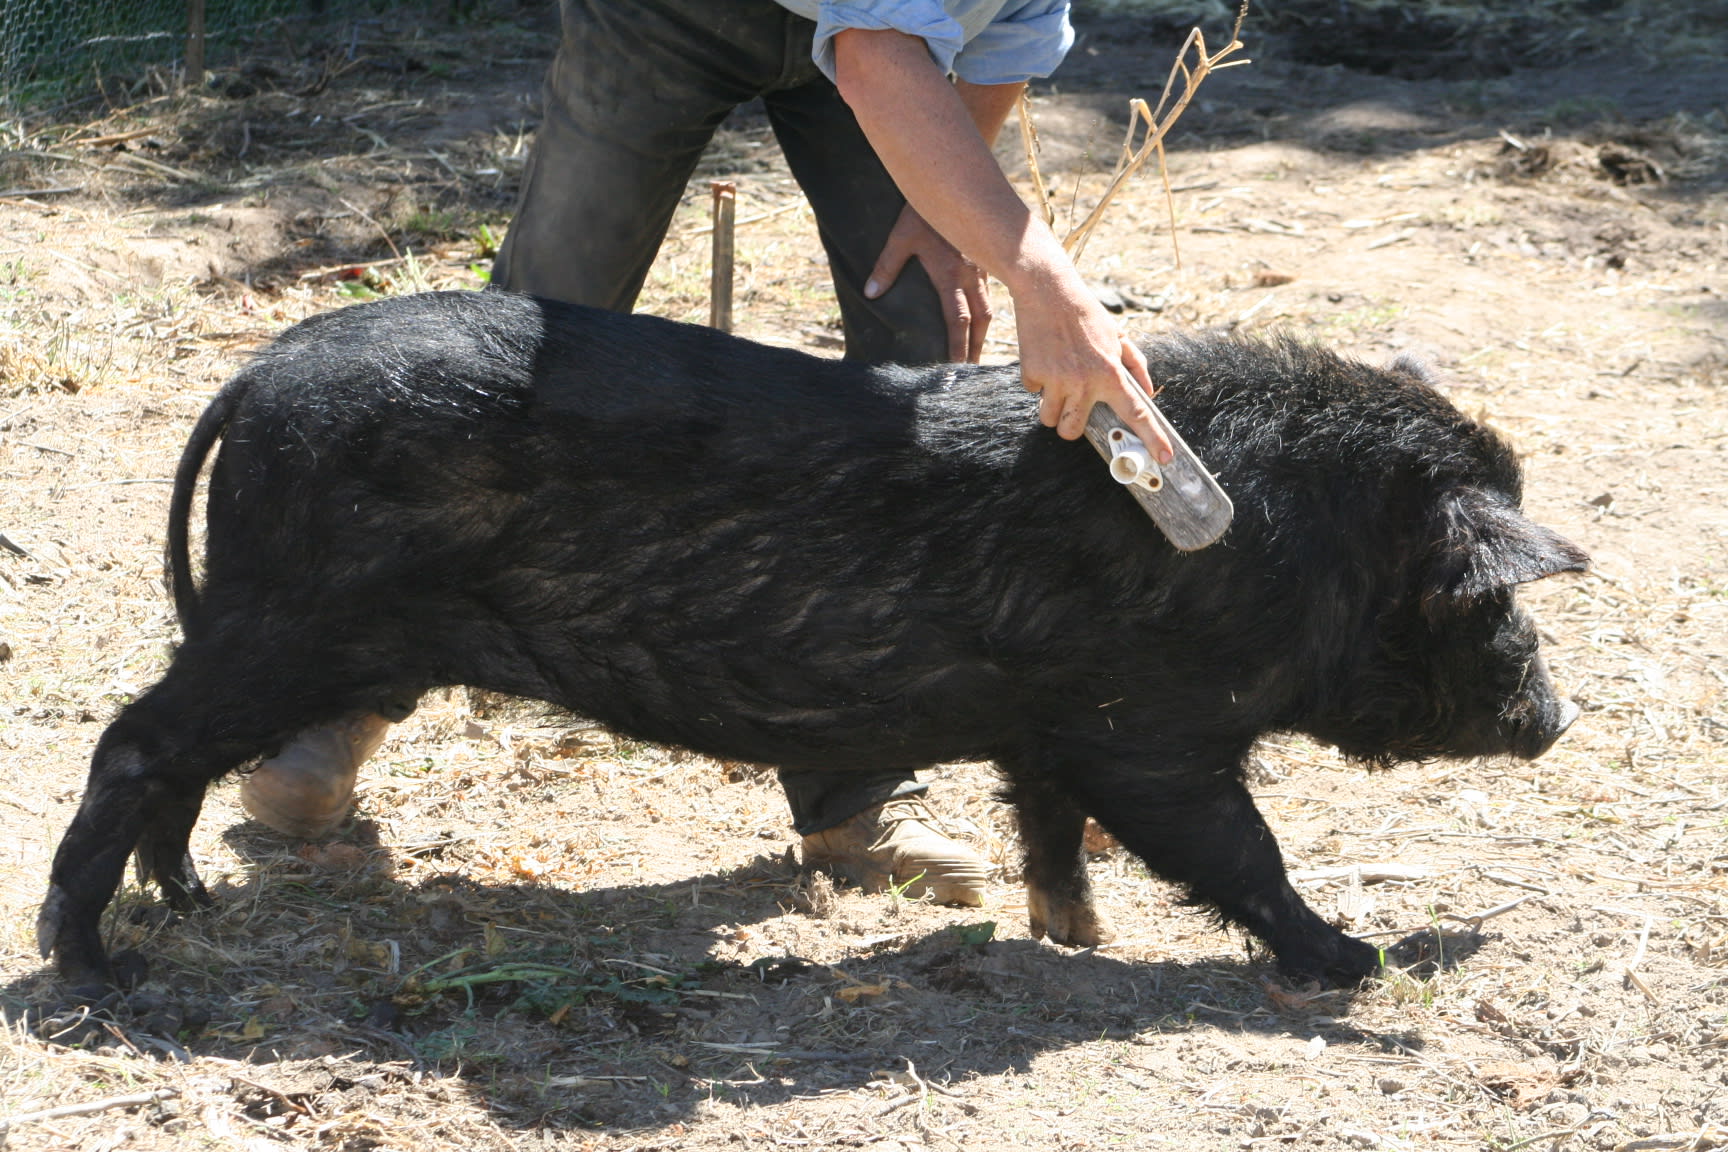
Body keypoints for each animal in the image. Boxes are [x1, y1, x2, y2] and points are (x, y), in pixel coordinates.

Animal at [39, 291, 1588, 996]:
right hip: (289, 616)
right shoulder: (1148, 726)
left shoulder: (1048, 724)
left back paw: (193, 906)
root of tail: (262, 370)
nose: (1560, 715)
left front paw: (1067, 939)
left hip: (293, 630)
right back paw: (96, 969)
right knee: (133, 738)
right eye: (1488, 598)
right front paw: (1361, 961)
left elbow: (1048, 826)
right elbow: (1236, 851)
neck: (1295, 544)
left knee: (176, 756)